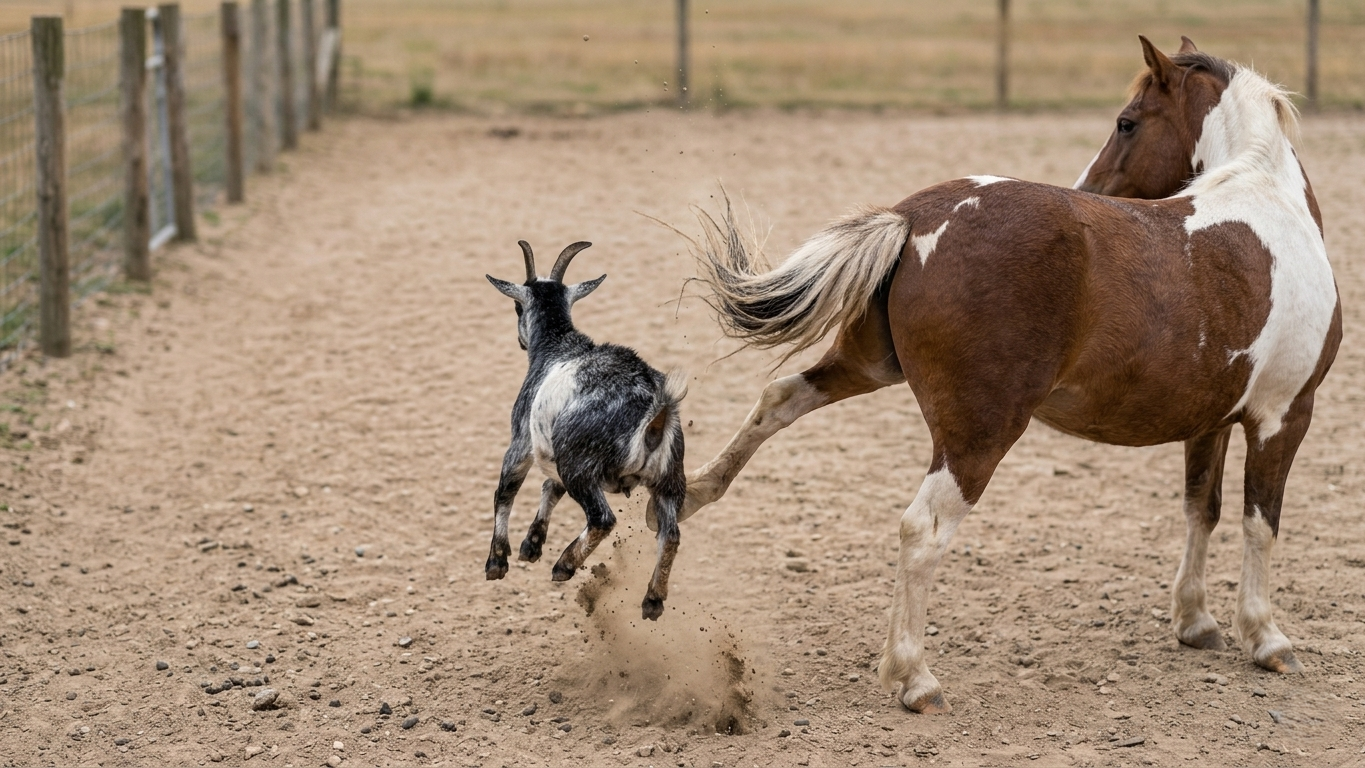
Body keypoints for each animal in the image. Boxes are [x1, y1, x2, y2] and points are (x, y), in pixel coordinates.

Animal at [485, 240, 687, 620]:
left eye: (517, 306)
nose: (520, 340)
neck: (557, 346)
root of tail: (655, 412)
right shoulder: (554, 448)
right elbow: (551, 488)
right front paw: (531, 544)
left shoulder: (522, 439)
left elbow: (506, 490)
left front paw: (497, 562)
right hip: (670, 476)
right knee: (670, 534)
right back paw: (653, 600)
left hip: (581, 465)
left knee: (602, 519)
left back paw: (564, 565)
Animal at [676, 36, 1341, 714]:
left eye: (1127, 122)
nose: (1089, 184)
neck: (1270, 208)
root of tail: (914, 217)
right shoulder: (1284, 416)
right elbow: (1260, 523)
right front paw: (1267, 639)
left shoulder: (1212, 422)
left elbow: (1201, 510)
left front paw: (1196, 622)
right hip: (979, 433)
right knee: (922, 529)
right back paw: (914, 678)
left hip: (868, 366)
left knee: (777, 399)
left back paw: (690, 496)